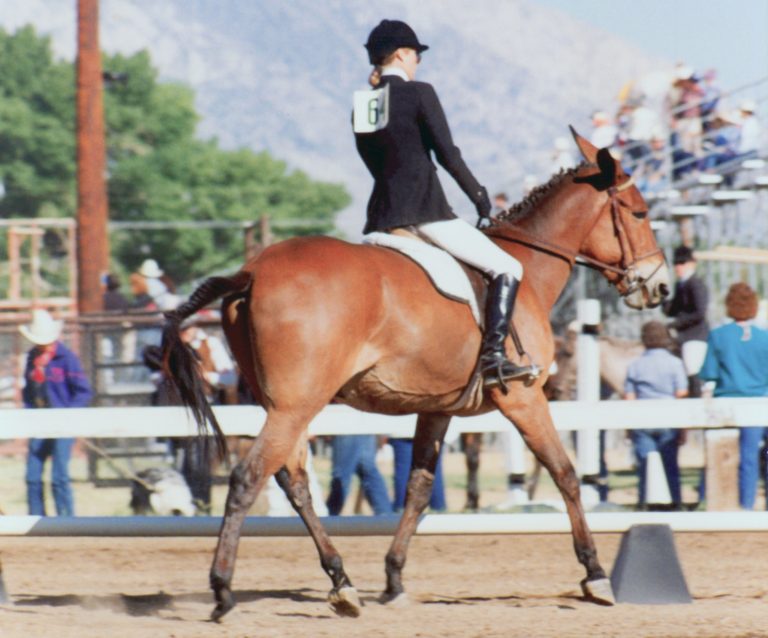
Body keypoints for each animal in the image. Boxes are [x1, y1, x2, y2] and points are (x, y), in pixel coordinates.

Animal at [161, 129, 670, 621]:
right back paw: (223, 590)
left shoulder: (436, 410)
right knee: (248, 478)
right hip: (296, 404)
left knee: (294, 482)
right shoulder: (524, 397)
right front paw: (595, 575)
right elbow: (564, 473)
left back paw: (342, 584)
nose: (661, 287)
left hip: (284, 405)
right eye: (640, 212)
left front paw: (394, 578)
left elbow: (419, 489)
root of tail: (251, 272)